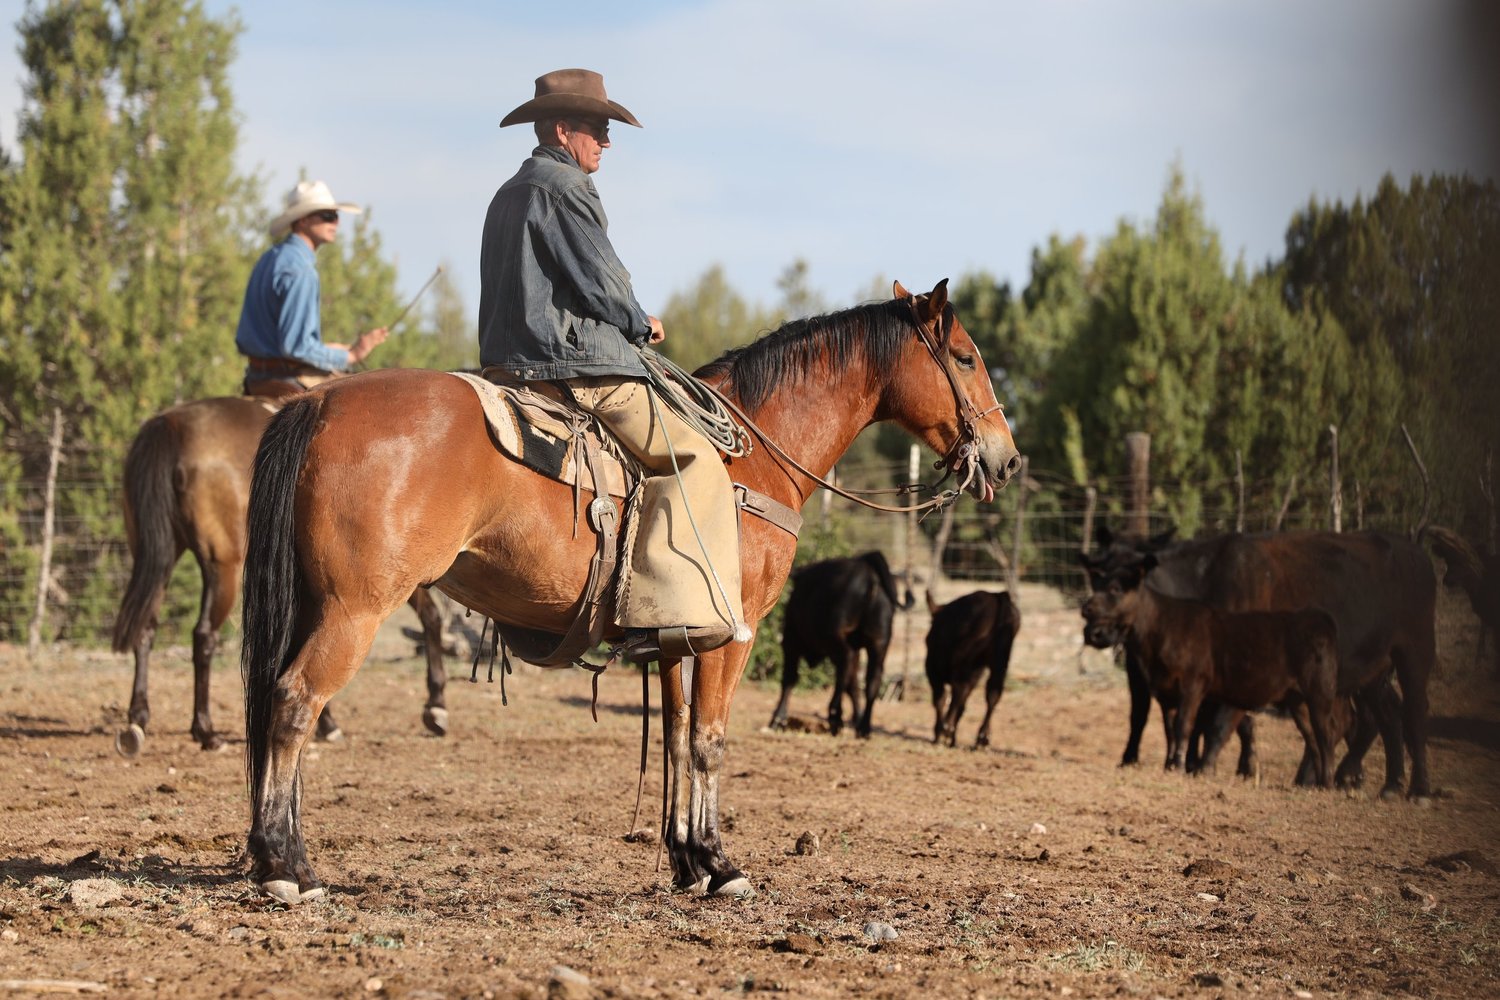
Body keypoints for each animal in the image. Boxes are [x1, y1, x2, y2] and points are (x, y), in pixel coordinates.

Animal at [111, 394, 452, 758]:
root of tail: (171, 425)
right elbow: (430, 617)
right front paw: (436, 706)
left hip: (158, 557)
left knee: (145, 628)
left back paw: (137, 722)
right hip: (223, 566)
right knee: (203, 636)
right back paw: (206, 731)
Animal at [240, 280, 1021, 904]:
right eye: (964, 358)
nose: (1008, 458)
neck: (750, 460)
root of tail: (322, 402)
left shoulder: (679, 638)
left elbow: (675, 736)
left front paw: (687, 861)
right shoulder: (734, 635)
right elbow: (709, 740)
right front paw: (720, 865)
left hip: (315, 605)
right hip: (353, 612)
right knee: (295, 703)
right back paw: (288, 869)